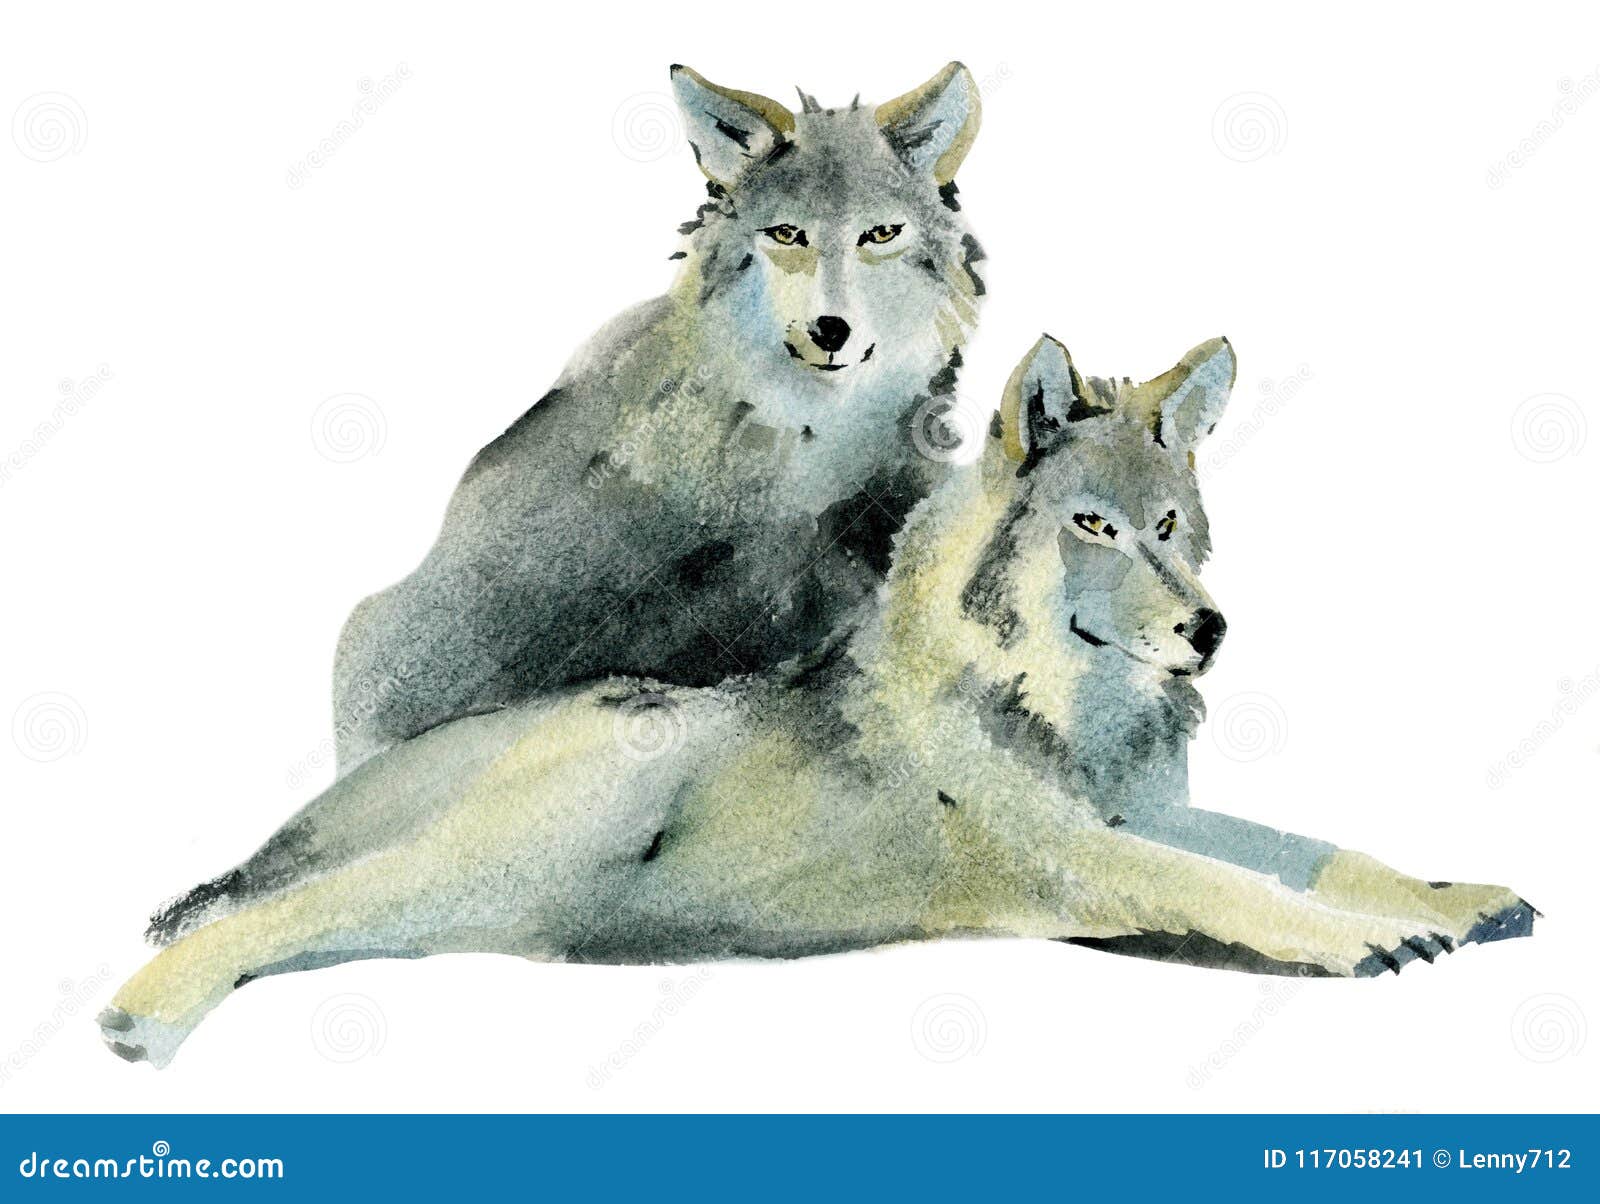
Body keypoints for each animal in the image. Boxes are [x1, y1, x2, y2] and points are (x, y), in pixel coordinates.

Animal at [103, 336, 1534, 1066]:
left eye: (1171, 526)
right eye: (1093, 525)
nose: (1210, 628)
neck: (1068, 707)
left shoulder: (1146, 818)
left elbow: (1322, 848)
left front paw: (1456, 897)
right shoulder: (1085, 855)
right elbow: (1244, 888)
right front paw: (1371, 939)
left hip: (499, 894)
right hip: (579, 799)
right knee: (277, 911)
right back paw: (142, 1016)